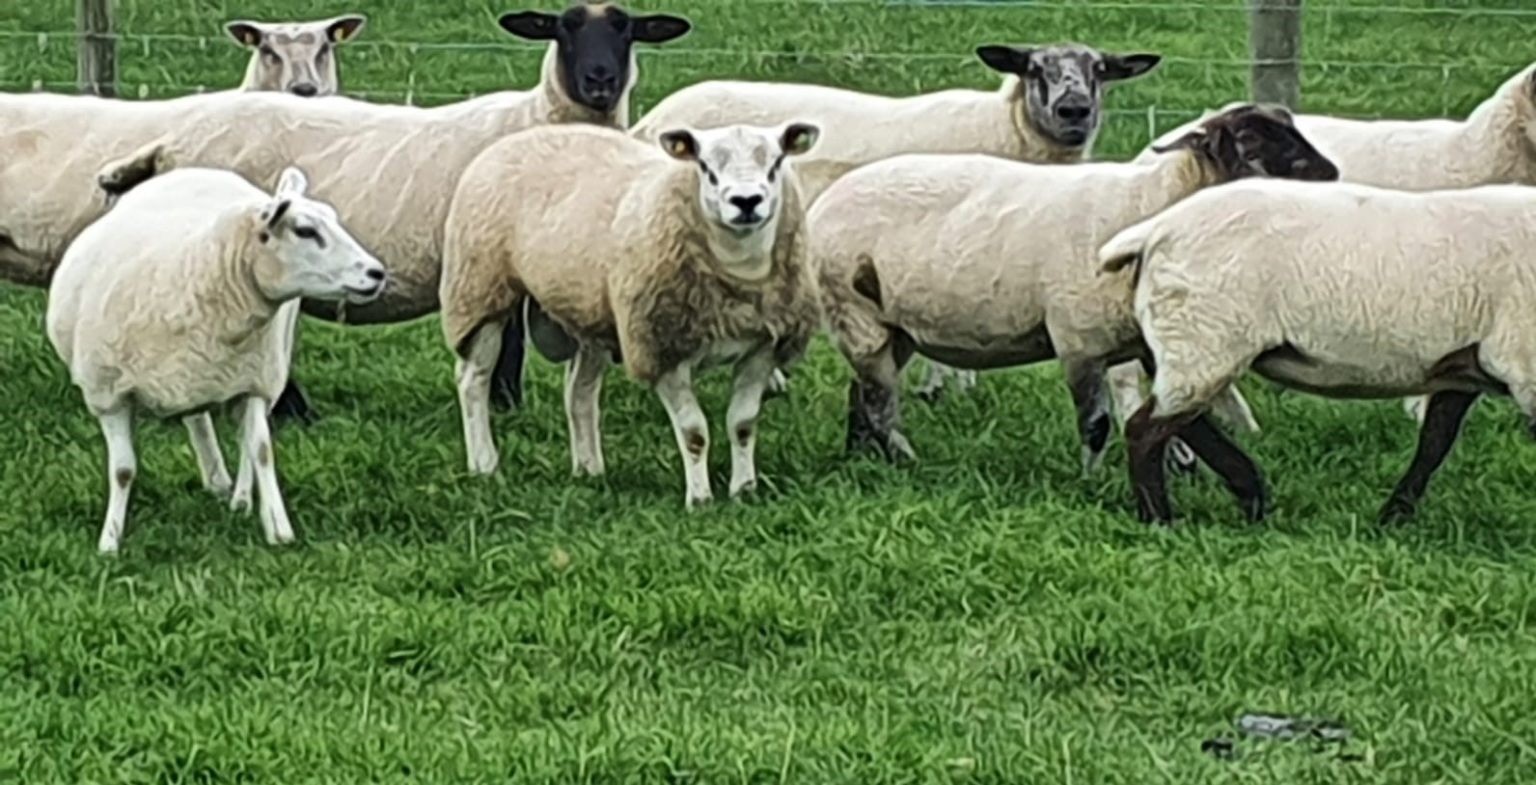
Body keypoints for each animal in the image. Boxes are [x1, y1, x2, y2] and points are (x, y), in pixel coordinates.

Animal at [45, 166, 386, 554]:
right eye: (304, 230)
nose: (377, 273)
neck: (194, 271)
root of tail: (199, 169)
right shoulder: (107, 394)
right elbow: (123, 470)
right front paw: (110, 542)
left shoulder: (256, 381)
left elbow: (261, 450)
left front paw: (277, 528)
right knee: (197, 419)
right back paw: (217, 480)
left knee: (240, 437)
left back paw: (238, 498)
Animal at [438, 121, 821, 507]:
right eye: (705, 169)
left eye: (776, 164)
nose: (746, 202)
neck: (739, 271)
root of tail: (528, 133)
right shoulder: (662, 350)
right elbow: (694, 433)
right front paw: (700, 500)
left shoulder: (763, 347)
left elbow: (742, 425)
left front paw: (744, 490)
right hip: (478, 291)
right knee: (473, 380)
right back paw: (485, 465)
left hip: (589, 313)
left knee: (579, 391)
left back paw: (589, 469)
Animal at [619, 43, 1163, 405]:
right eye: (1034, 69)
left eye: (1099, 70)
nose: (1075, 111)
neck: (1006, 129)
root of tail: (649, 123)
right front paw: (945, 384)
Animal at [809, 104, 1337, 478]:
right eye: (1249, 139)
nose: (1330, 175)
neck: (1150, 203)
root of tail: (824, 201)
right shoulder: (1079, 339)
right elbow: (1097, 424)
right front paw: (1090, 482)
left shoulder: (1146, 344)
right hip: (855, 314)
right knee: (878, 399)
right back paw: (902, 460)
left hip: (889, 327)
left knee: (862, 391)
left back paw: (862, 458)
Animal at [1097, 178, 1536, 525]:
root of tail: (1154, 230)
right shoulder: (1522, 365)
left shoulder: (1463, 370)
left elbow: (1435, 441)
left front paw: (1393, 517)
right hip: (1204, 339)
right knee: (1145, 429)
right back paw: (1160, 519)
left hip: (1189, 344)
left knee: (1183, 421)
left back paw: (1249, 494)